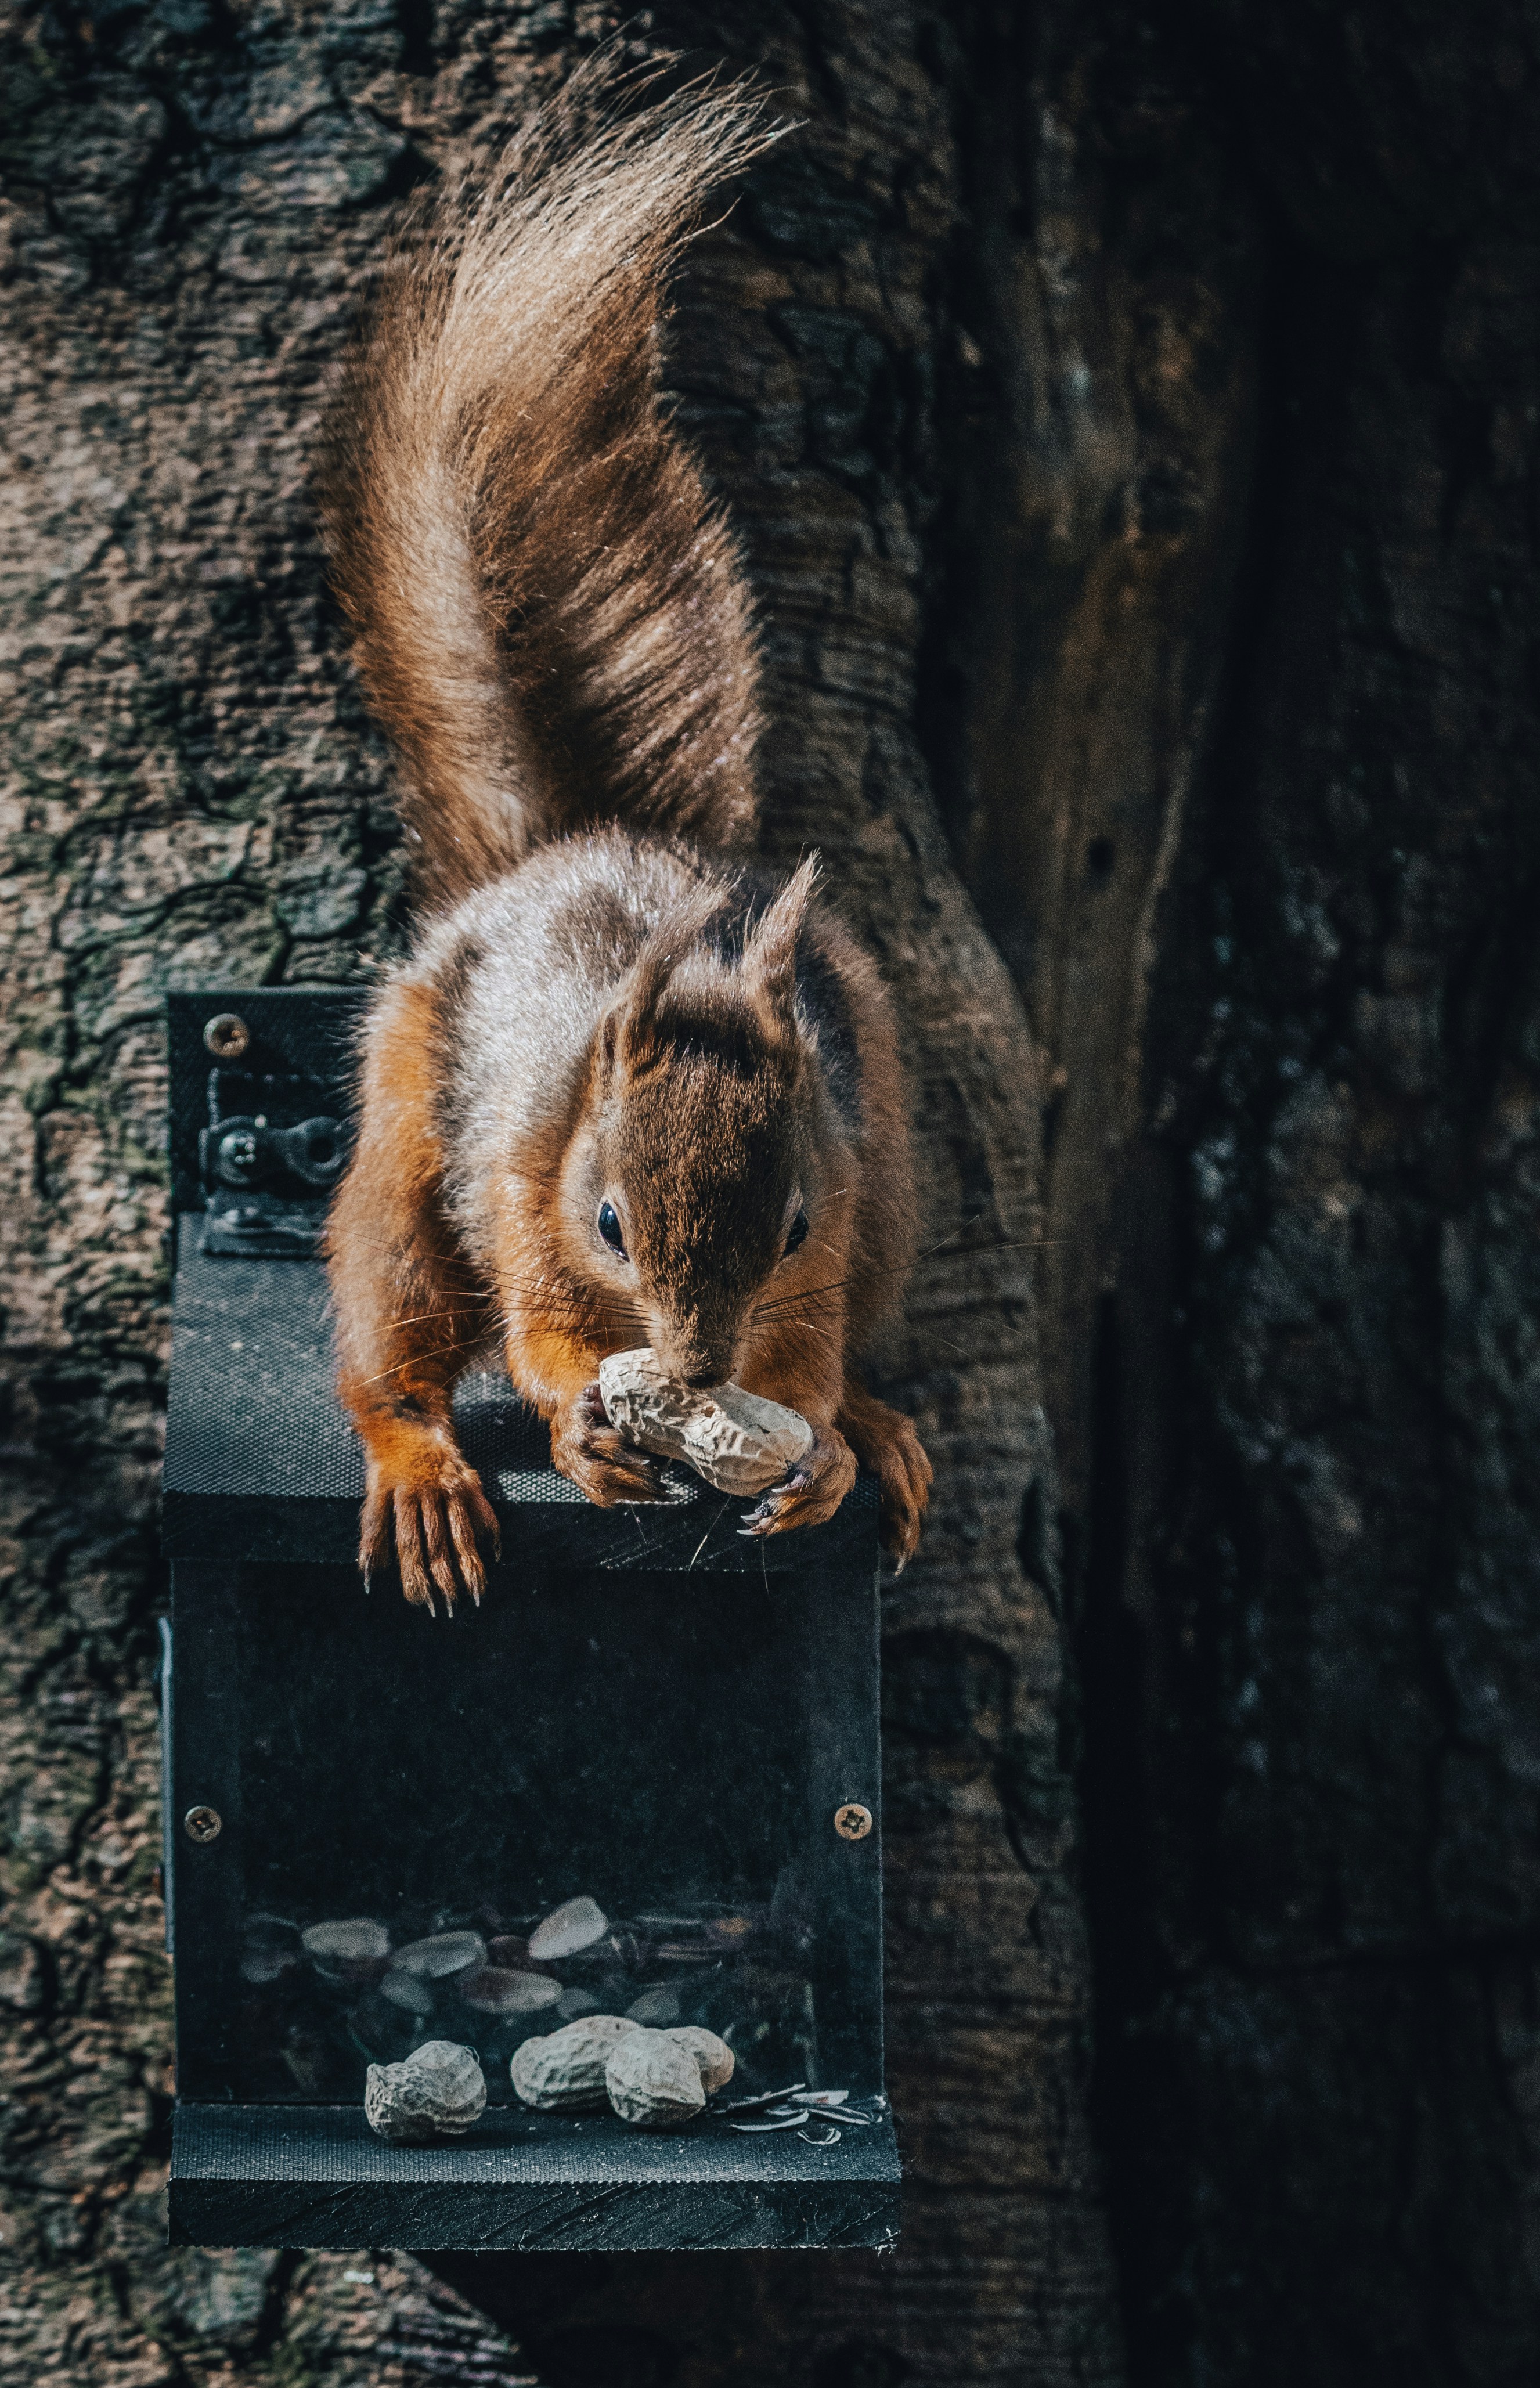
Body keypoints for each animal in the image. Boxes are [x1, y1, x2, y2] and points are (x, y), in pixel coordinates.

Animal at [318, 54, 932, 1614]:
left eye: (786, 1222)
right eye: (608, 1222)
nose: (698, 1367)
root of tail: (564, 844)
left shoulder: (841, 1200)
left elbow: (811, 1352)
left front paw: (816, 1445)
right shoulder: (525, 1179)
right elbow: (539, 1327)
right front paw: (583, 1429)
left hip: (897, 1184)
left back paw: (881, 1428)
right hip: (410, 1138)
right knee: (391, 1326)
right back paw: (418, 1466)